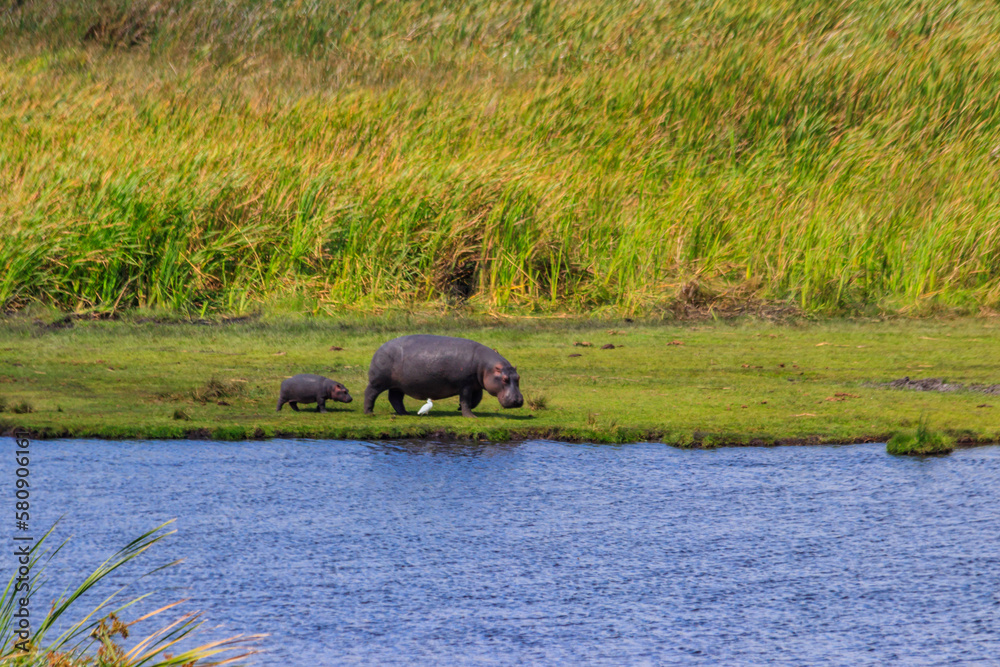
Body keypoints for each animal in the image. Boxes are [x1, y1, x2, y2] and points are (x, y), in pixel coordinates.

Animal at [364, 335, 523, 417]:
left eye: (518, 377)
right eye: (504, 379)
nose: (517, 401)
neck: (485, 366)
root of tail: (380, 348)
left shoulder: (476, 385)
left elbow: (476, 400)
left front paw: (460, 409)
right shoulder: (465, 385)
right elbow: (466, 400)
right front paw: (470, 416)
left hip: (398, 385)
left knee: (395, 398)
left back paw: (405, 413)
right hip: (377, 382)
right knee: (370, 394)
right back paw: (369, 413)